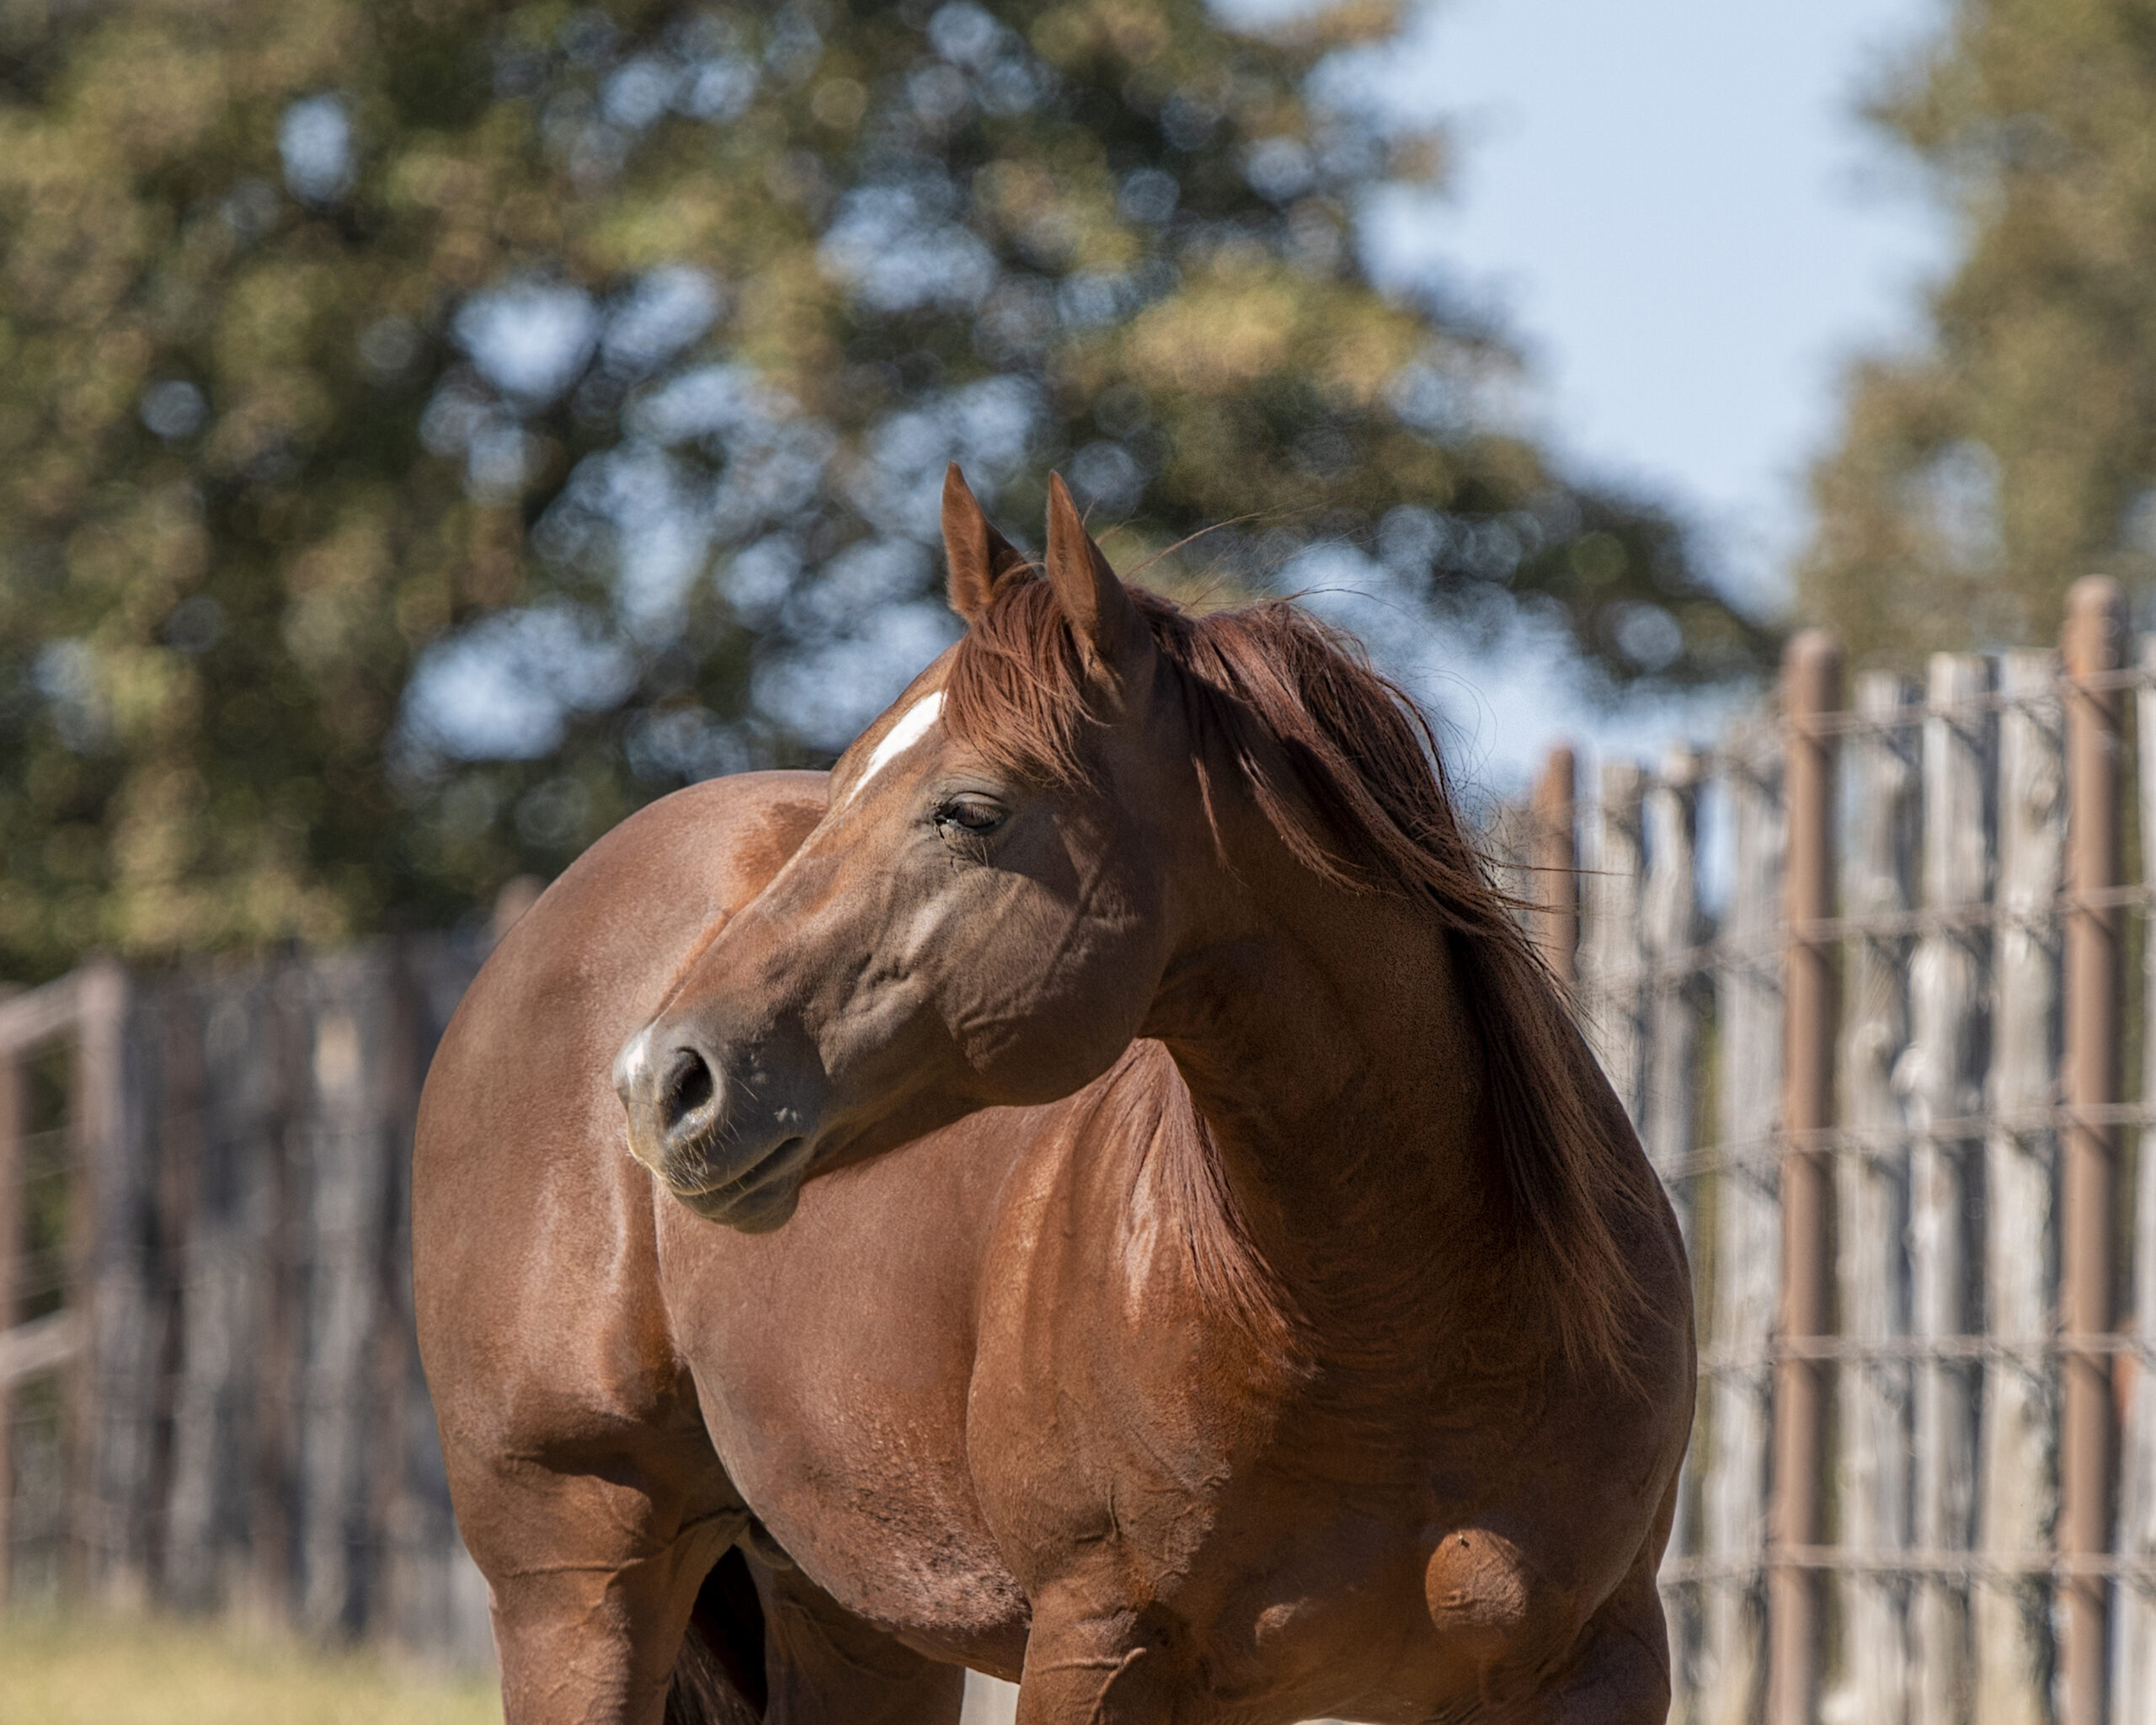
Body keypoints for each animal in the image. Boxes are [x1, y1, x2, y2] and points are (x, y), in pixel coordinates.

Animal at [412, 467, 1694, 1725]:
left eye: (972, 809)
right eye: (845, 782)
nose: (665, 1081)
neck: (1406, 1327)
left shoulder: (1601, 1666)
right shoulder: (1095, 1649)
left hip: (853, 1620)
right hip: (579, 1582)